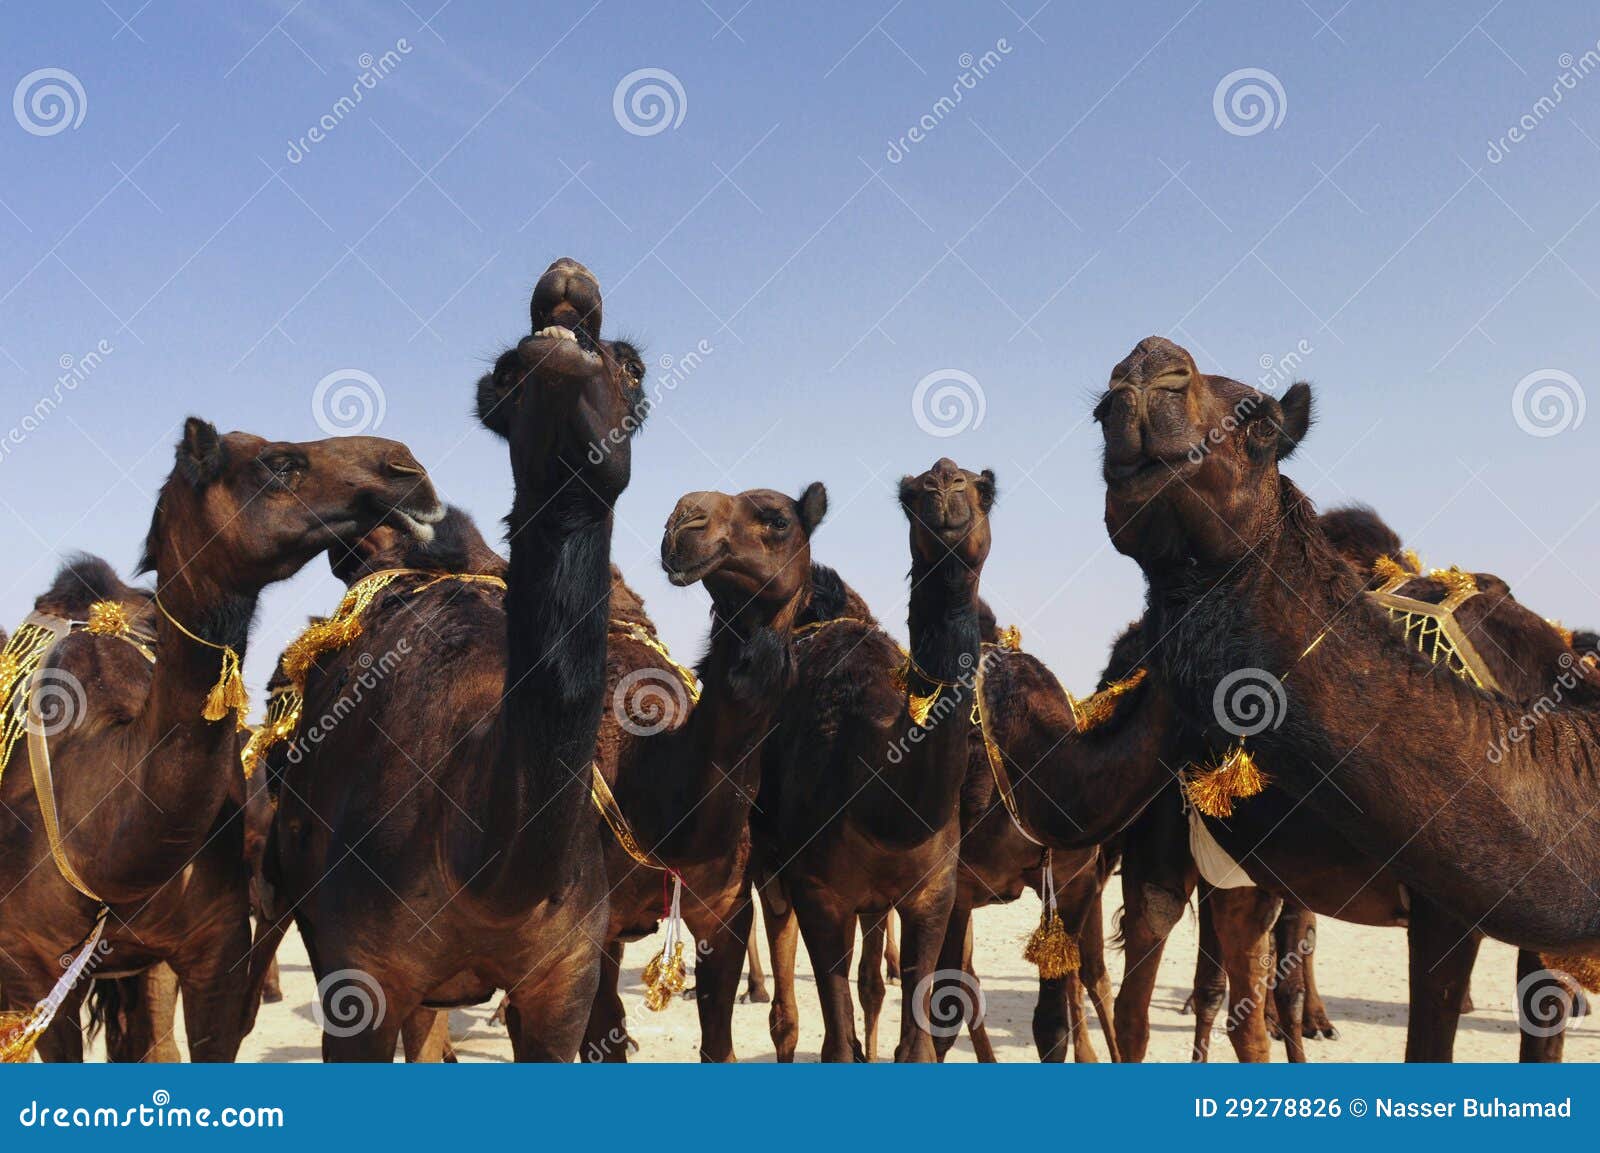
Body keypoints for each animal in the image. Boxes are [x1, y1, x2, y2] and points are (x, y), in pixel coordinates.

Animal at [753, 458, 991, 1062]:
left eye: (985, 488)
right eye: (910, 496)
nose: (944, 484)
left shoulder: (934, 893)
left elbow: (916, 1042)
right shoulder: (820, 893)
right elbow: (838, 1044)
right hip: (770, 865)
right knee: (784, 999)